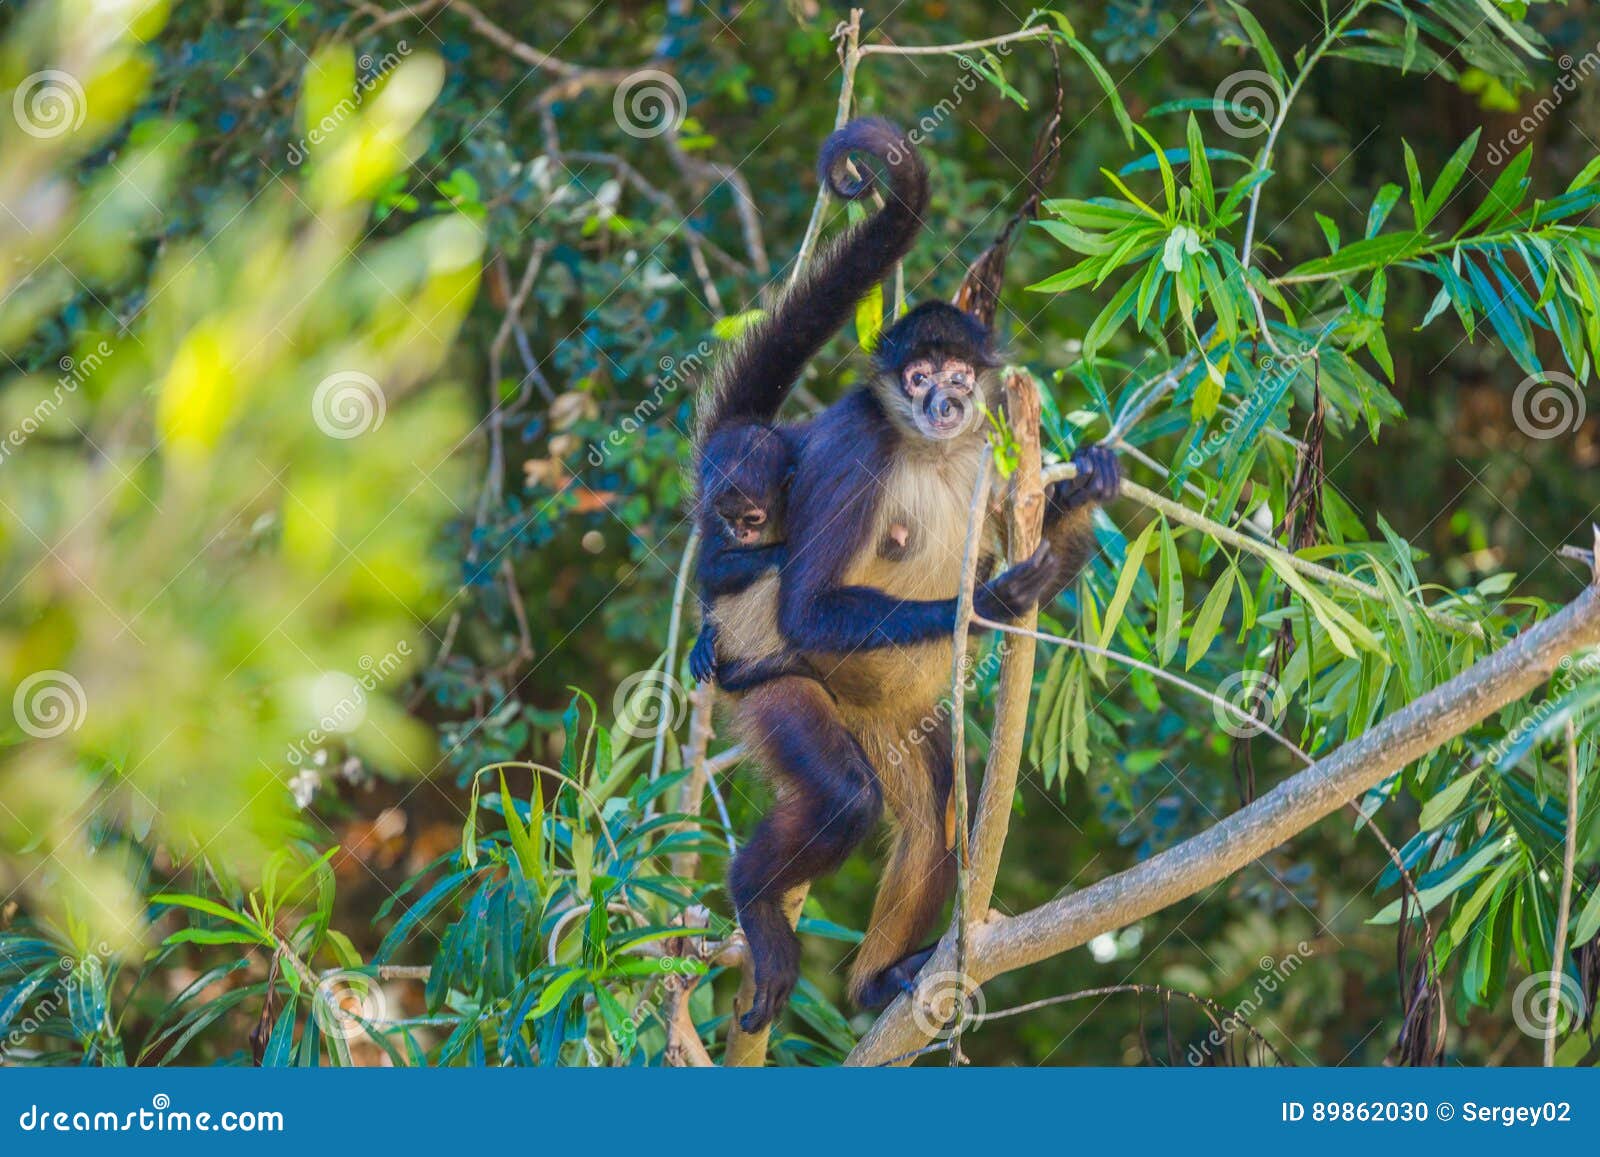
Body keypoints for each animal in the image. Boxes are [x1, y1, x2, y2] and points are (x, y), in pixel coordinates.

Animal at [694, 117, 1122, 1031]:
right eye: (917, 377)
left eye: (958, 376)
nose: (944, 402)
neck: (928, 449)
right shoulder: (855, 444)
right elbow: (808, 605)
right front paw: (991, 598)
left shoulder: (989, 441)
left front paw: (1088, 485)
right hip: (787, 691)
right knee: (845, 794)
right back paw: (757, 896)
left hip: (899, 722)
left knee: (936, 816)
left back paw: (879, 980)